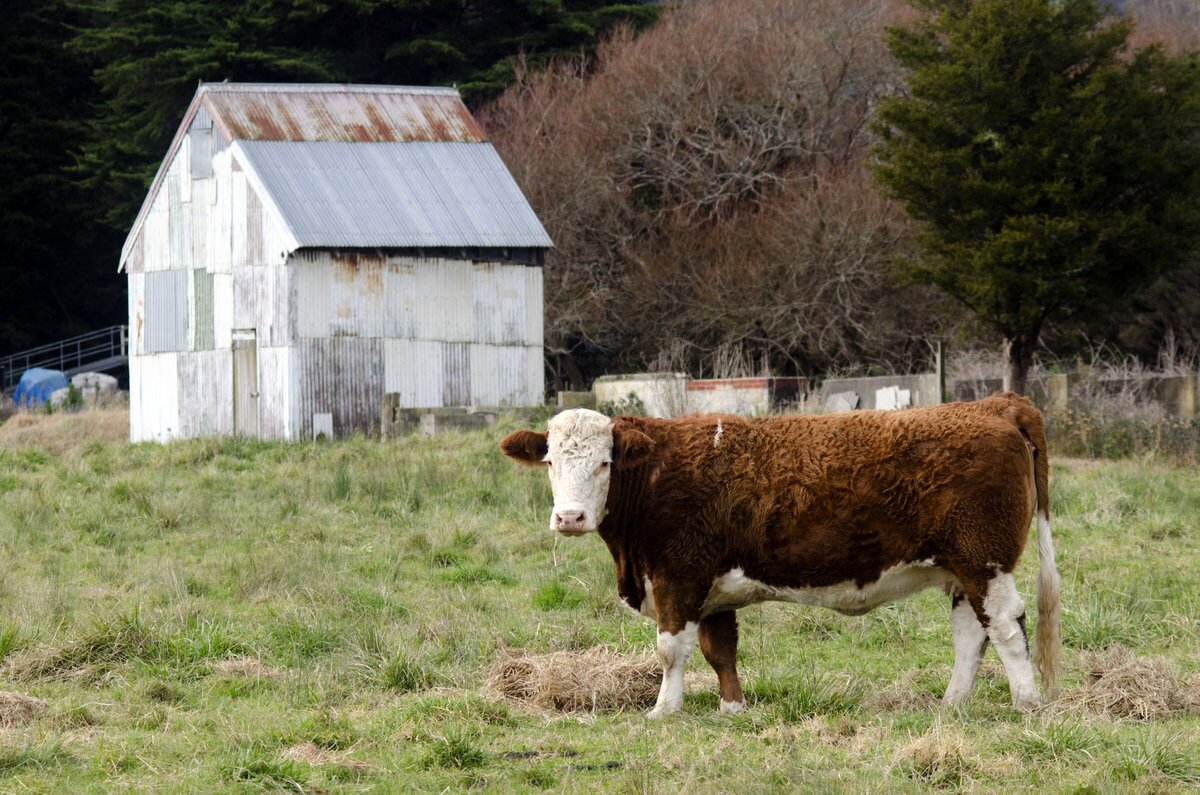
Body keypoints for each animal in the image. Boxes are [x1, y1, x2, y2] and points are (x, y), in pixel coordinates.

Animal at [500, 393, 1061, 718]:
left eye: (604, 463)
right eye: (549, 462)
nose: (569, 518)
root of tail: (996, 403)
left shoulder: (677, 576)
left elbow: (670, 650)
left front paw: (663, 711)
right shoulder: (711, 585)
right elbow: (719, 649)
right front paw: (732, 709)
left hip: (984, 559)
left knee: (1006, 626)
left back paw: (1027, 703)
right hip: (962, 568)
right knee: (972, 633)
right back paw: (951, 704)